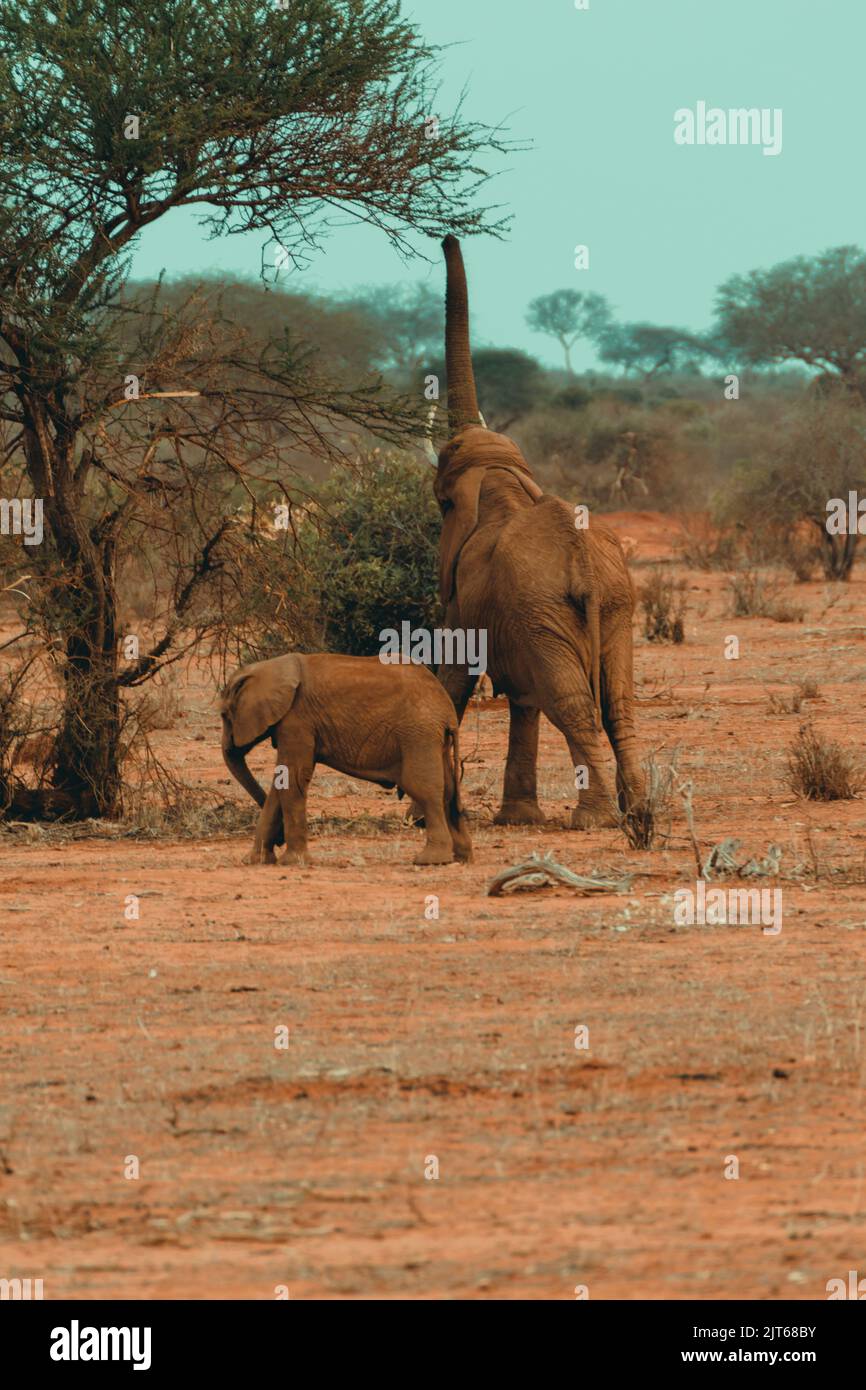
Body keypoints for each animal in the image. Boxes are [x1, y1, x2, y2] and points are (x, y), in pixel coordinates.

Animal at [220, 652, 473, 865]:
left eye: (224, 716)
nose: (280, 839)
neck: (272, 666)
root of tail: (447, 709)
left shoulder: (297, 720)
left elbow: (294, 779)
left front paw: (294, 862)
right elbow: (280, 784)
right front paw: (255, 861)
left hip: (418, 734)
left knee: (423, 789)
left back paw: (430, 860)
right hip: (433, 739)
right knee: (449, 791)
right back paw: (461, 857)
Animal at [423, 234, 644, 829]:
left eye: (441, 503)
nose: (447, 236)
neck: (500, 482)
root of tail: (584, 563)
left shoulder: (465, 604)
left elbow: (453, 676)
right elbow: (521, 697)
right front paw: (518, 819)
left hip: (548, 610)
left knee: (574, 704)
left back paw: (595, 819)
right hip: (612, 611)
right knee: (616, 704)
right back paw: (638, 811)